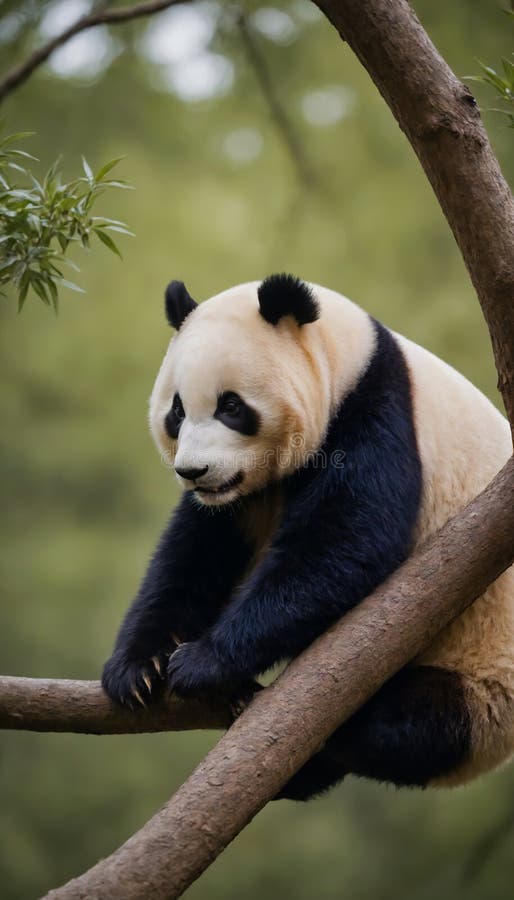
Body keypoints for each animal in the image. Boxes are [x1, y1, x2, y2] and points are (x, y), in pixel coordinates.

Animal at [102, 273, 514, 800]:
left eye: (231, 406)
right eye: (176, 411)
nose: (193, 472)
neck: (348, 358)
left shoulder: (377, 410)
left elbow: (344, 541)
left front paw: (202, 662)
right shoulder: (235, 500)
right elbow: (193, 558)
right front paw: (137, 669)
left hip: (482, 682)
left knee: (407, 722)